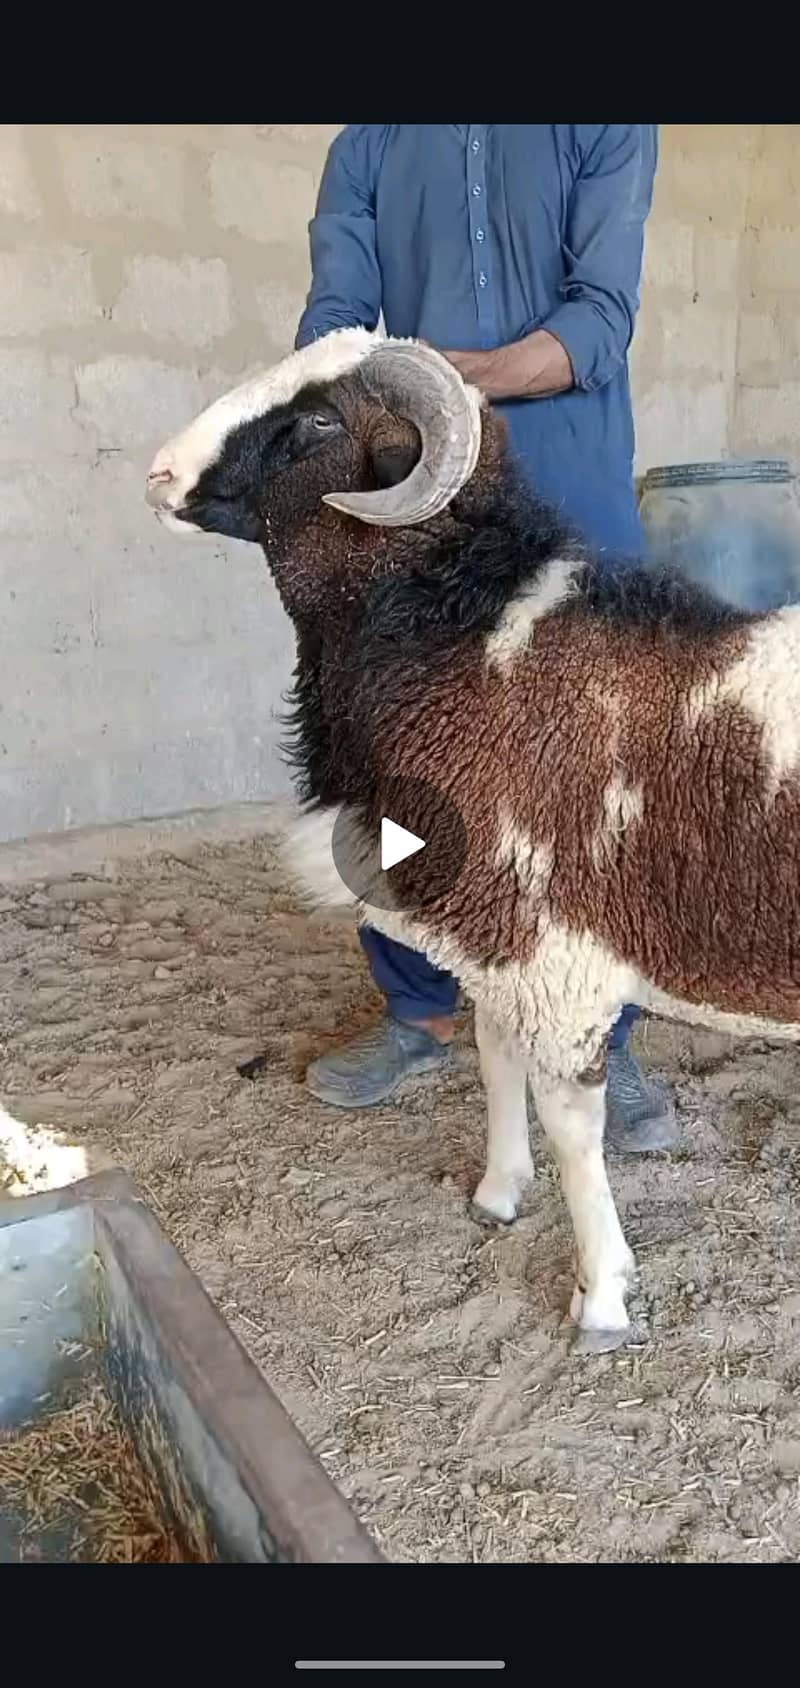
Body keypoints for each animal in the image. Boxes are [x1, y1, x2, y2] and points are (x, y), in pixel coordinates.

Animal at [147, 328, 800, 1354]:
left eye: (318, 421)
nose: (160, 474)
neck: (474, 643)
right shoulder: (496, 936)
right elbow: (496, 1056)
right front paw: (498, 1192)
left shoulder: (555, 955)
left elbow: (572, 1121)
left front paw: (602, 1299)